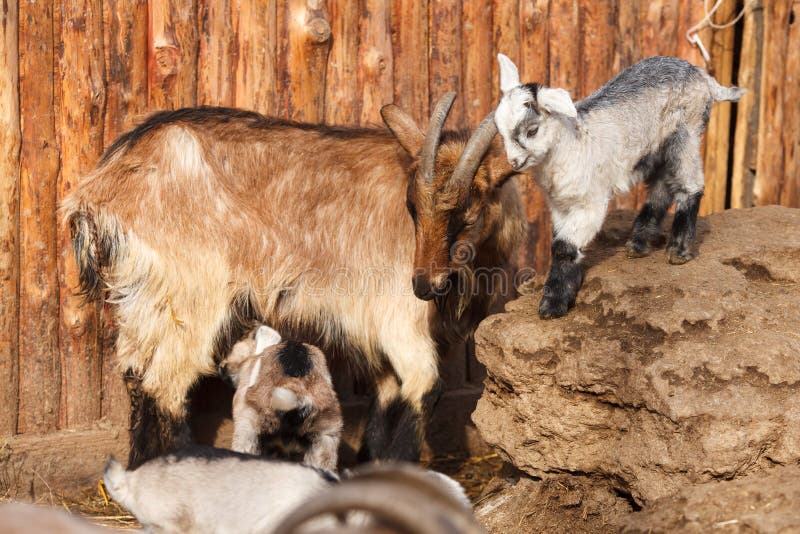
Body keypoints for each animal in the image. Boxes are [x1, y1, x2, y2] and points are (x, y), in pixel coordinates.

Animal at [494, 54, 745, 318]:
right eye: (500, 132)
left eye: (532, 131)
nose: (514, 162)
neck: (573, 143)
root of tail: (702, 75)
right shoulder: (561, 205)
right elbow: (561, 245)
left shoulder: (590, 204)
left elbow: (564, 246)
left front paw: (553, 305)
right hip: (658, 146)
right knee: (662, 185)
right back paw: (638, 244)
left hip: (686, 131)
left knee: (690, 183)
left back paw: (678, 251)